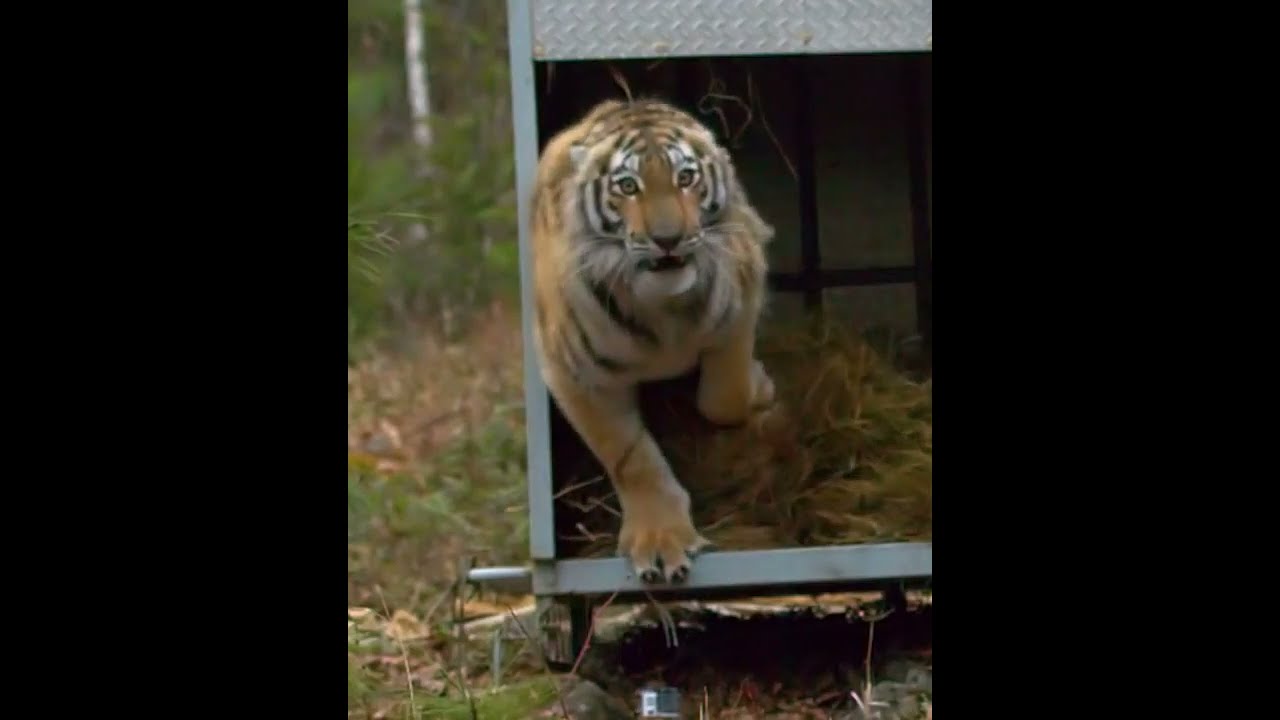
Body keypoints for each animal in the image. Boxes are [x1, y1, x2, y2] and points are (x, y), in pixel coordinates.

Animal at [529, 97, 777, 585]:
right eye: (628, 186)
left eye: (686, 178)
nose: (668, 239)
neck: (664, 310)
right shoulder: (572, 373)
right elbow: (630, 458)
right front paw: (661, 541)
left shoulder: (741, 297)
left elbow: (723, 398)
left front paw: (759, 388)